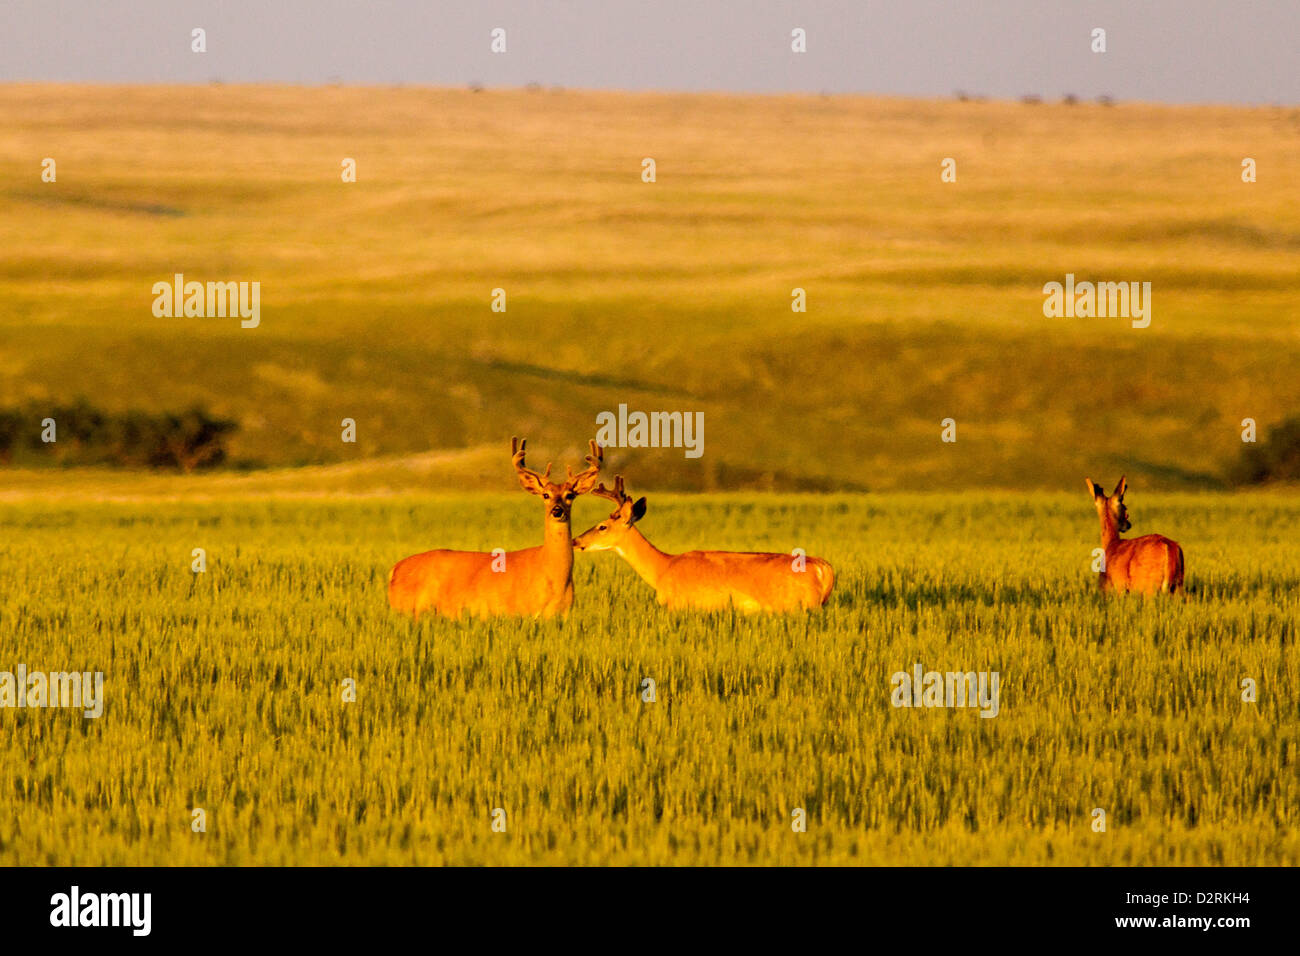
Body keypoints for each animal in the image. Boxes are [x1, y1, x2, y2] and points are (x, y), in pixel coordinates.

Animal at [387, 437, 603, 618]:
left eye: (570, 495)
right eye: (546, 495)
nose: (557, 511)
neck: (553, 575)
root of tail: (394, 569)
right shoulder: (519, 611)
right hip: (408, 609)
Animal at [571, 475, 835, 612]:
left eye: (602, 526)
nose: (575, 540)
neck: (662, 569)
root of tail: (823, 568)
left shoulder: (677, 604)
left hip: (797, 605)